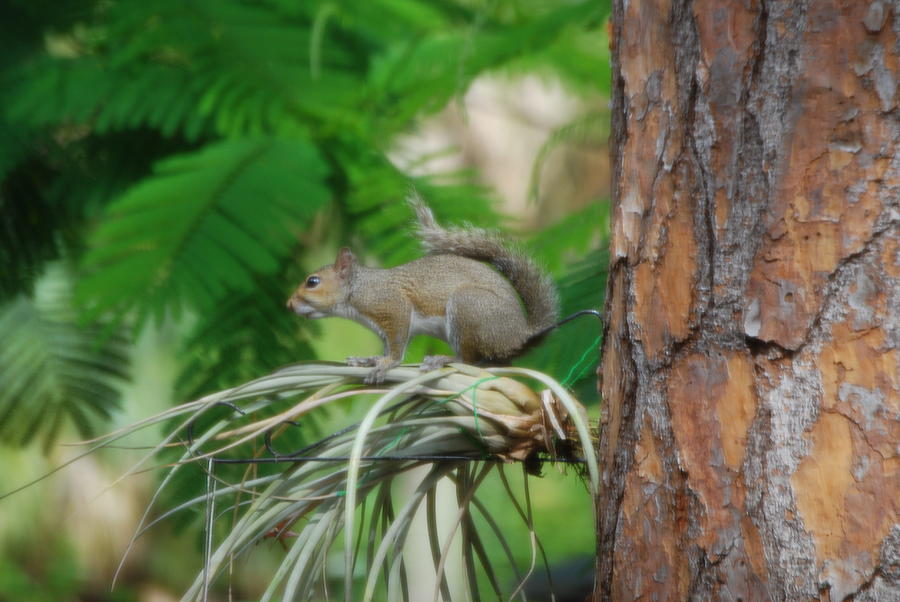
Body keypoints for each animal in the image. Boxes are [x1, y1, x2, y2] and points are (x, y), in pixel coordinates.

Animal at [287, 194, 561, 384]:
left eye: (312, 282)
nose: (288, 304)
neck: (359, 289)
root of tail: (520, 333)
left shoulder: (393, 307)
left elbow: (397, 347)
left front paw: (386, 364)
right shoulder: (385, 327)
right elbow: (389, 344)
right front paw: (370, 360)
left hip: (468, 308)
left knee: (469, 360)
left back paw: (443, 359)